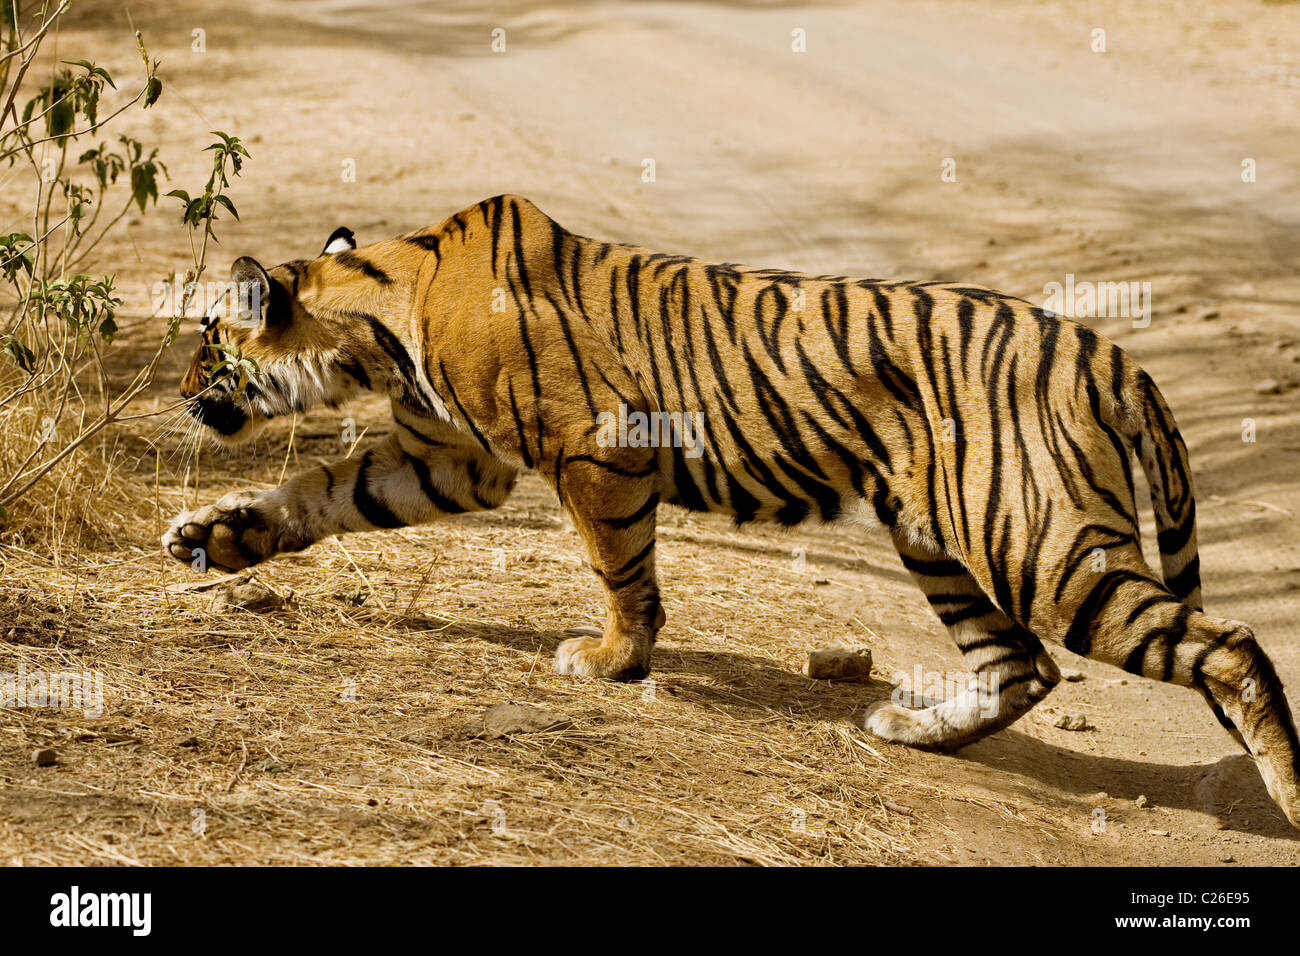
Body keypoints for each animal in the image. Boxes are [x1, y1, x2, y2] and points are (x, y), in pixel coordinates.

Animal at [162, 194, 1300, 830]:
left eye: (208, 341)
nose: (177, 391)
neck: (378, 323)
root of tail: (1115, 355)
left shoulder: (600, 449)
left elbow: (622, 571)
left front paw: (611, 661)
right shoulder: (448, 459)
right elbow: (316, 493)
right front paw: (211, 536)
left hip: (1043, 545)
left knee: (1229, 645)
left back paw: (1289, 798)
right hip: (940, 535)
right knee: (1021, 664)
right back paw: (911, 728)